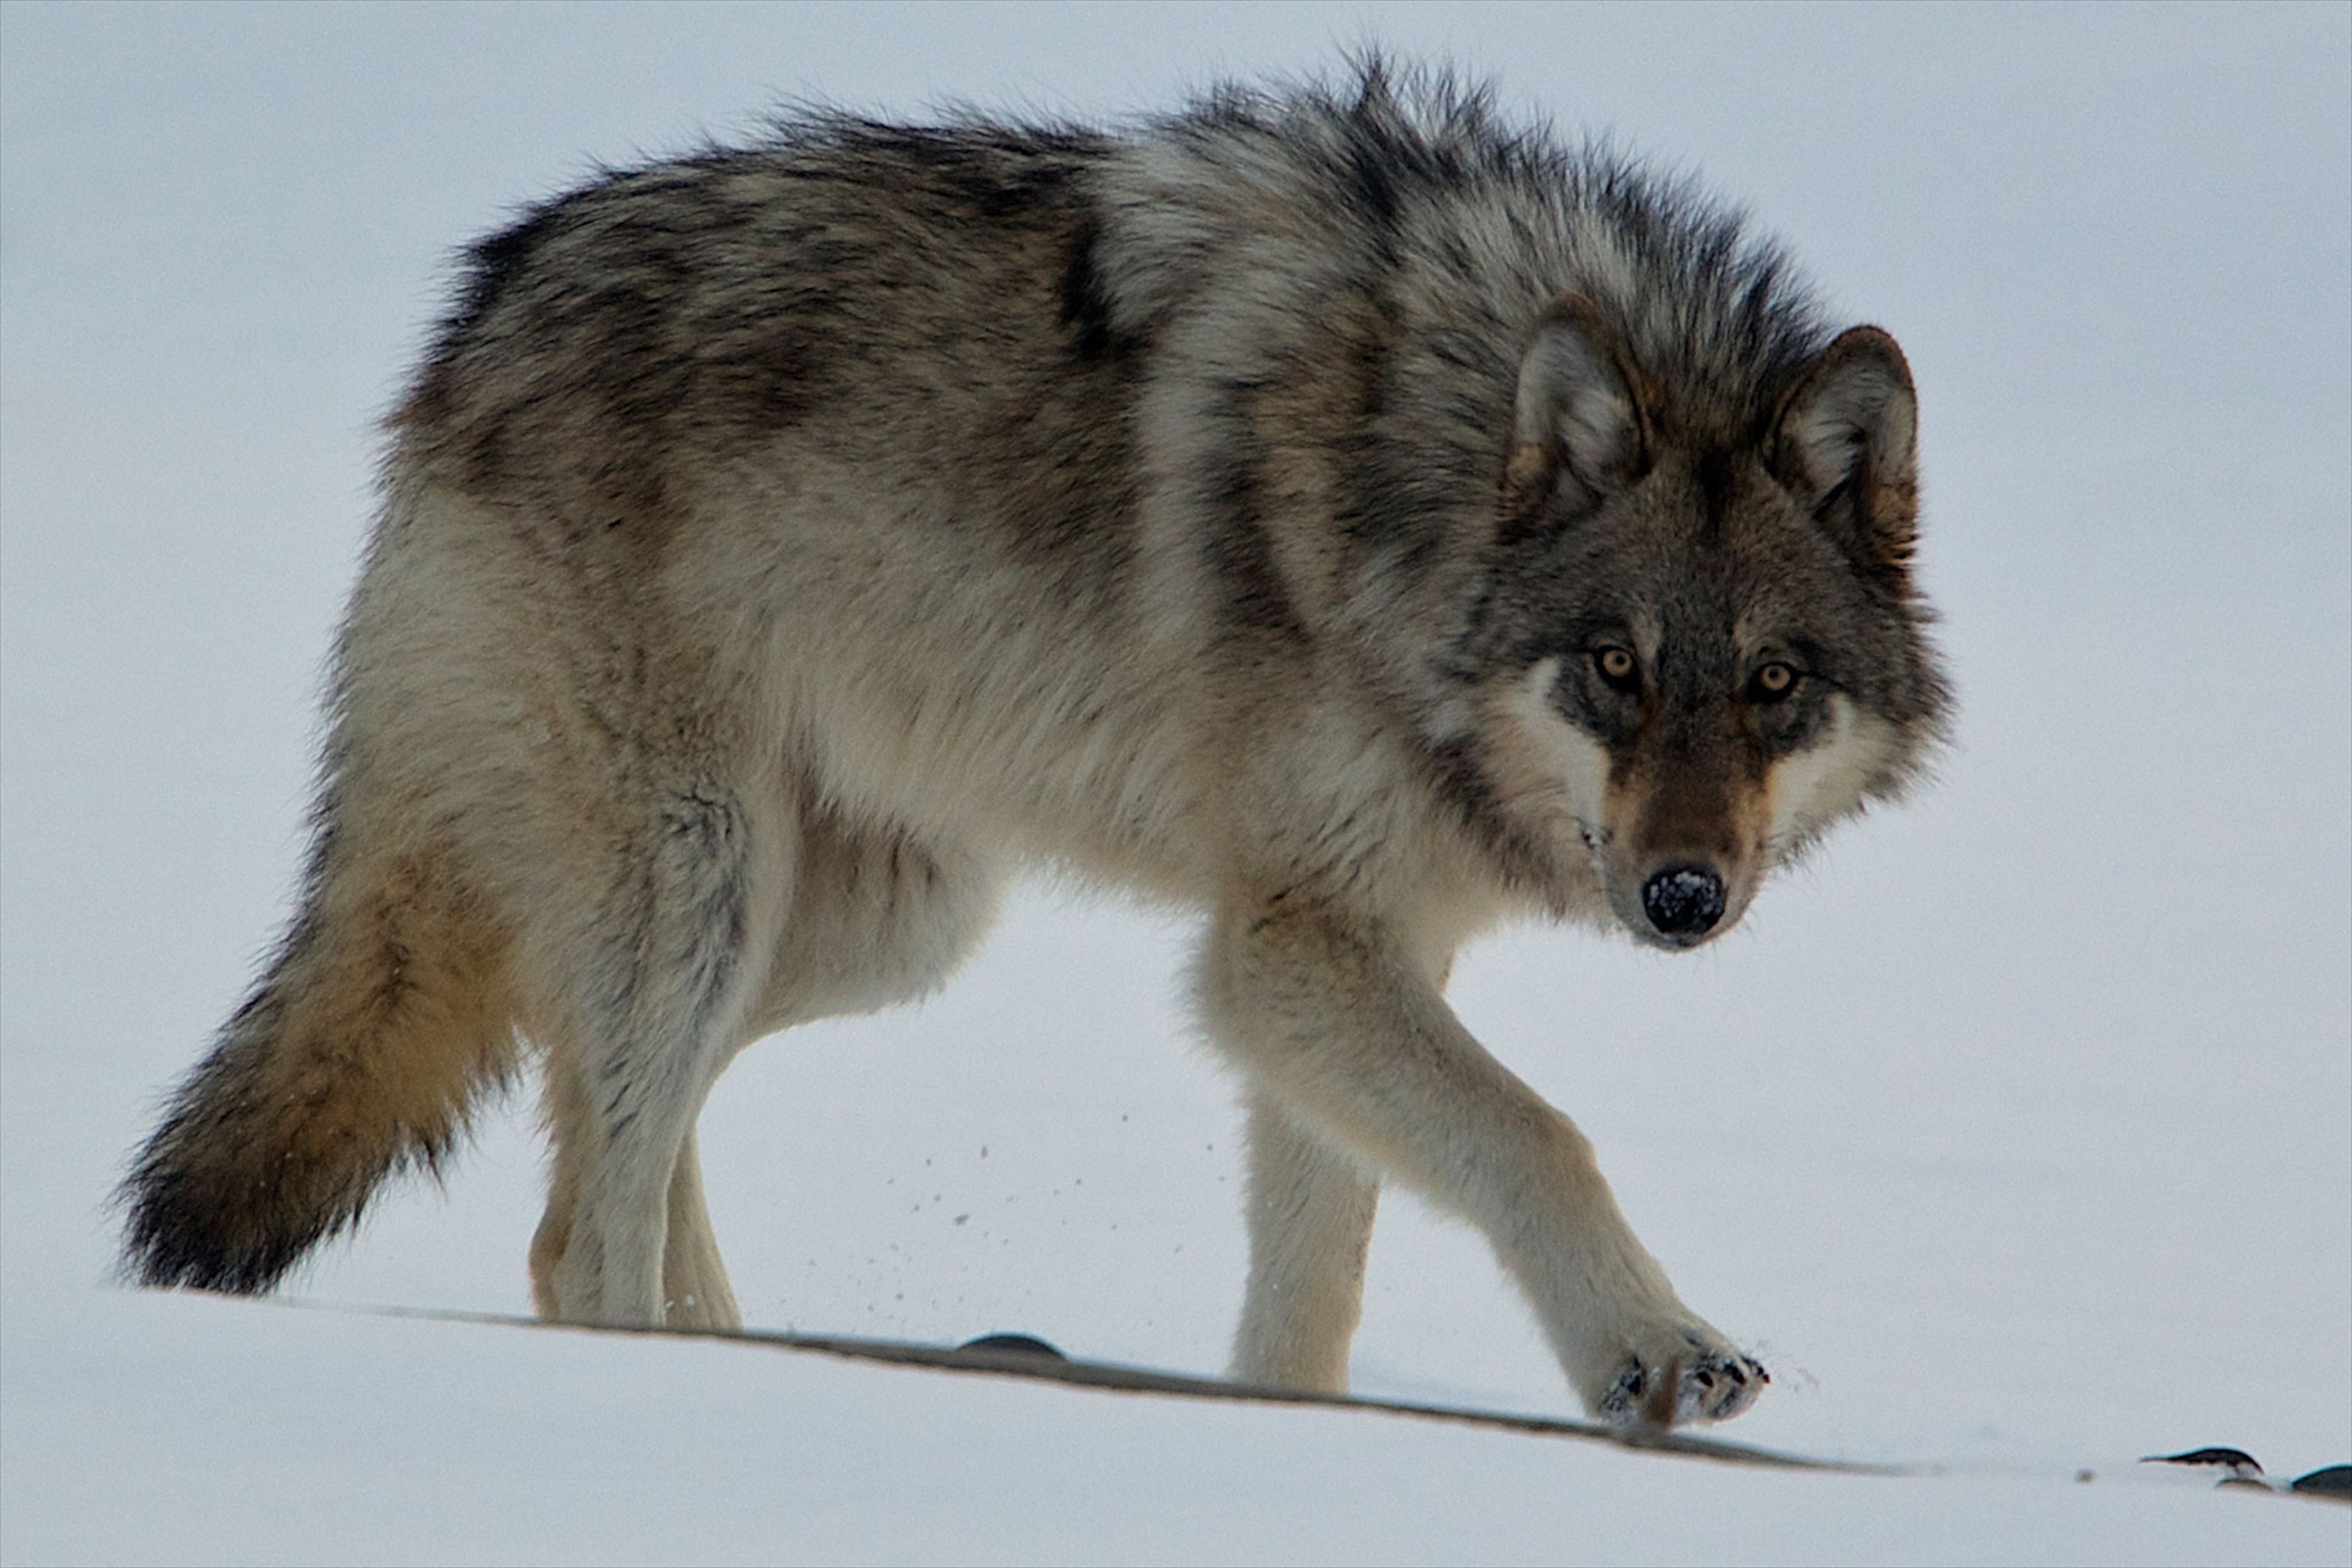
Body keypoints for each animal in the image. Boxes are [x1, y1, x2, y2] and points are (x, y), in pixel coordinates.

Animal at [120, 62, 1948, 1427]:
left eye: (1772, 681)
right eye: (1616, 667)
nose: (1683, 896)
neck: (1417, 483)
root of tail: (474, 316)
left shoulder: (1347, 957)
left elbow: (1315, 1294)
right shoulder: (1285, 951)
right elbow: (1536, 1133)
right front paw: (1657, 1349)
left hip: (873, 920)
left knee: (598, 1107)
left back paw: (734, 1345)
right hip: (711, 879)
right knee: (582, 1228)